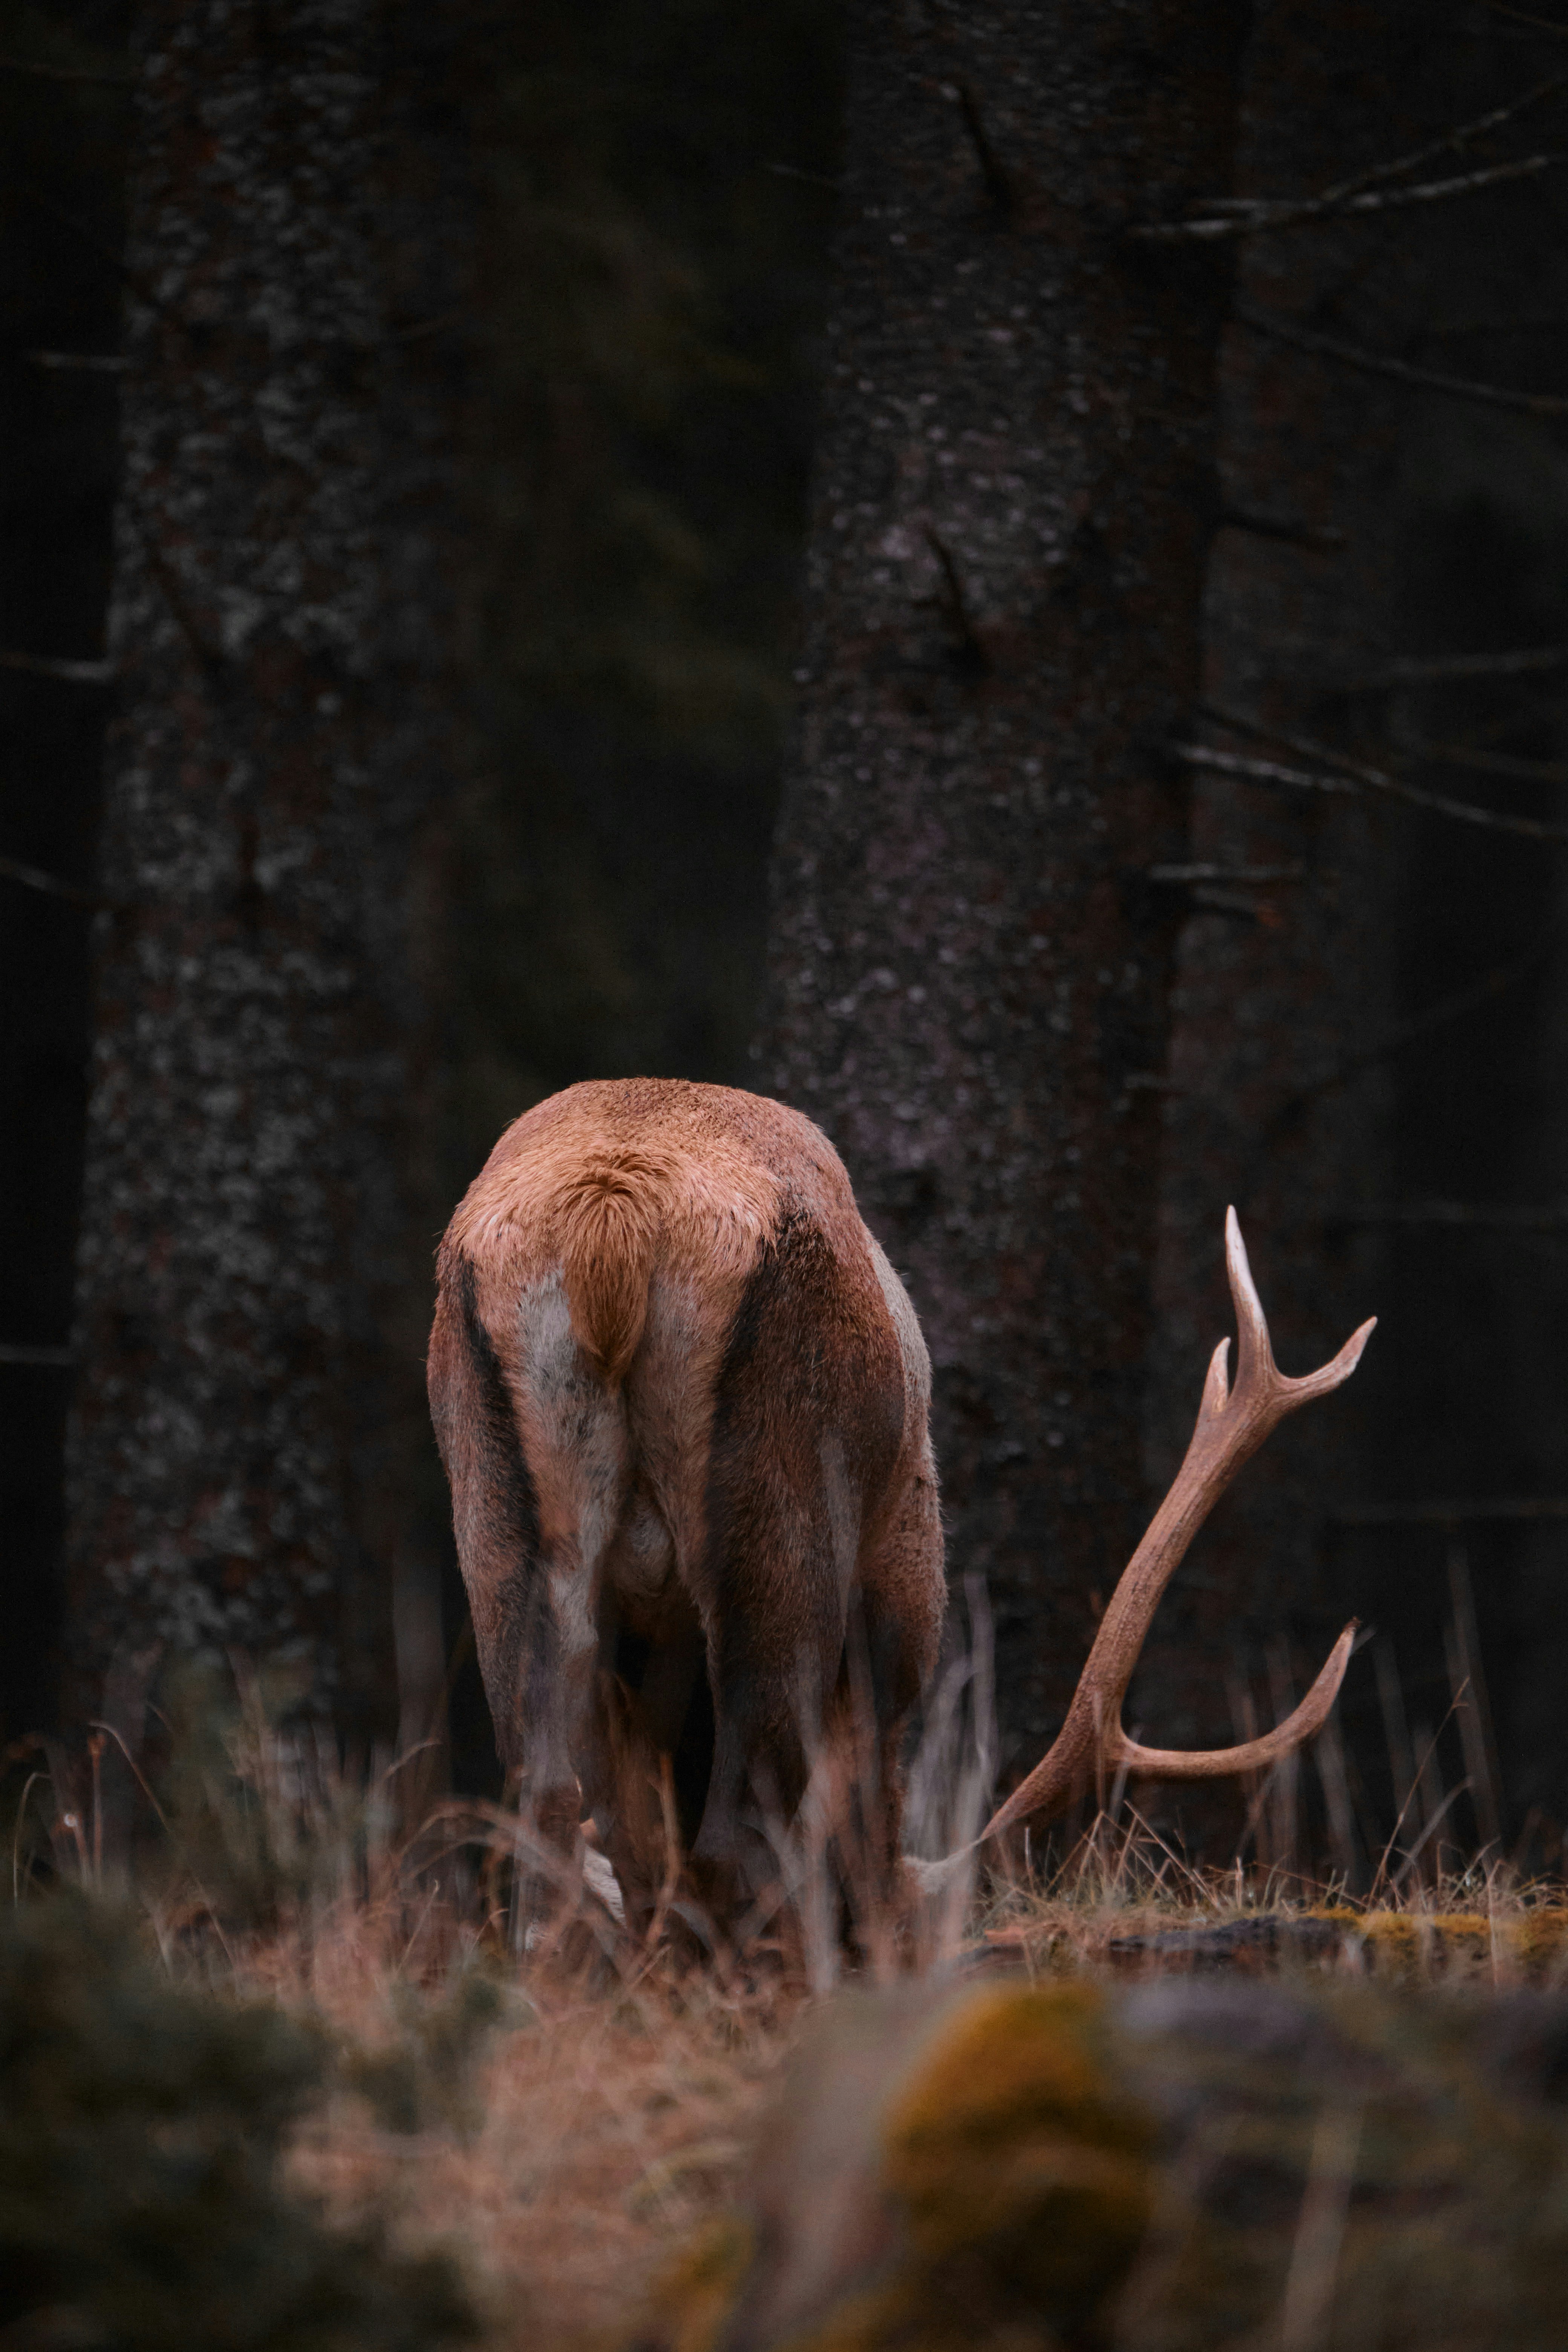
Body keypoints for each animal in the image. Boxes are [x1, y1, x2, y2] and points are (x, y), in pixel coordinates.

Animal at [427, 1077, 1373, 1936]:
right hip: (791, 1513)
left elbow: (637, 1845)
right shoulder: (904, 1582)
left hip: (497, 1515)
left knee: (553, 1812)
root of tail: (614, 1219)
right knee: (737, 1836)